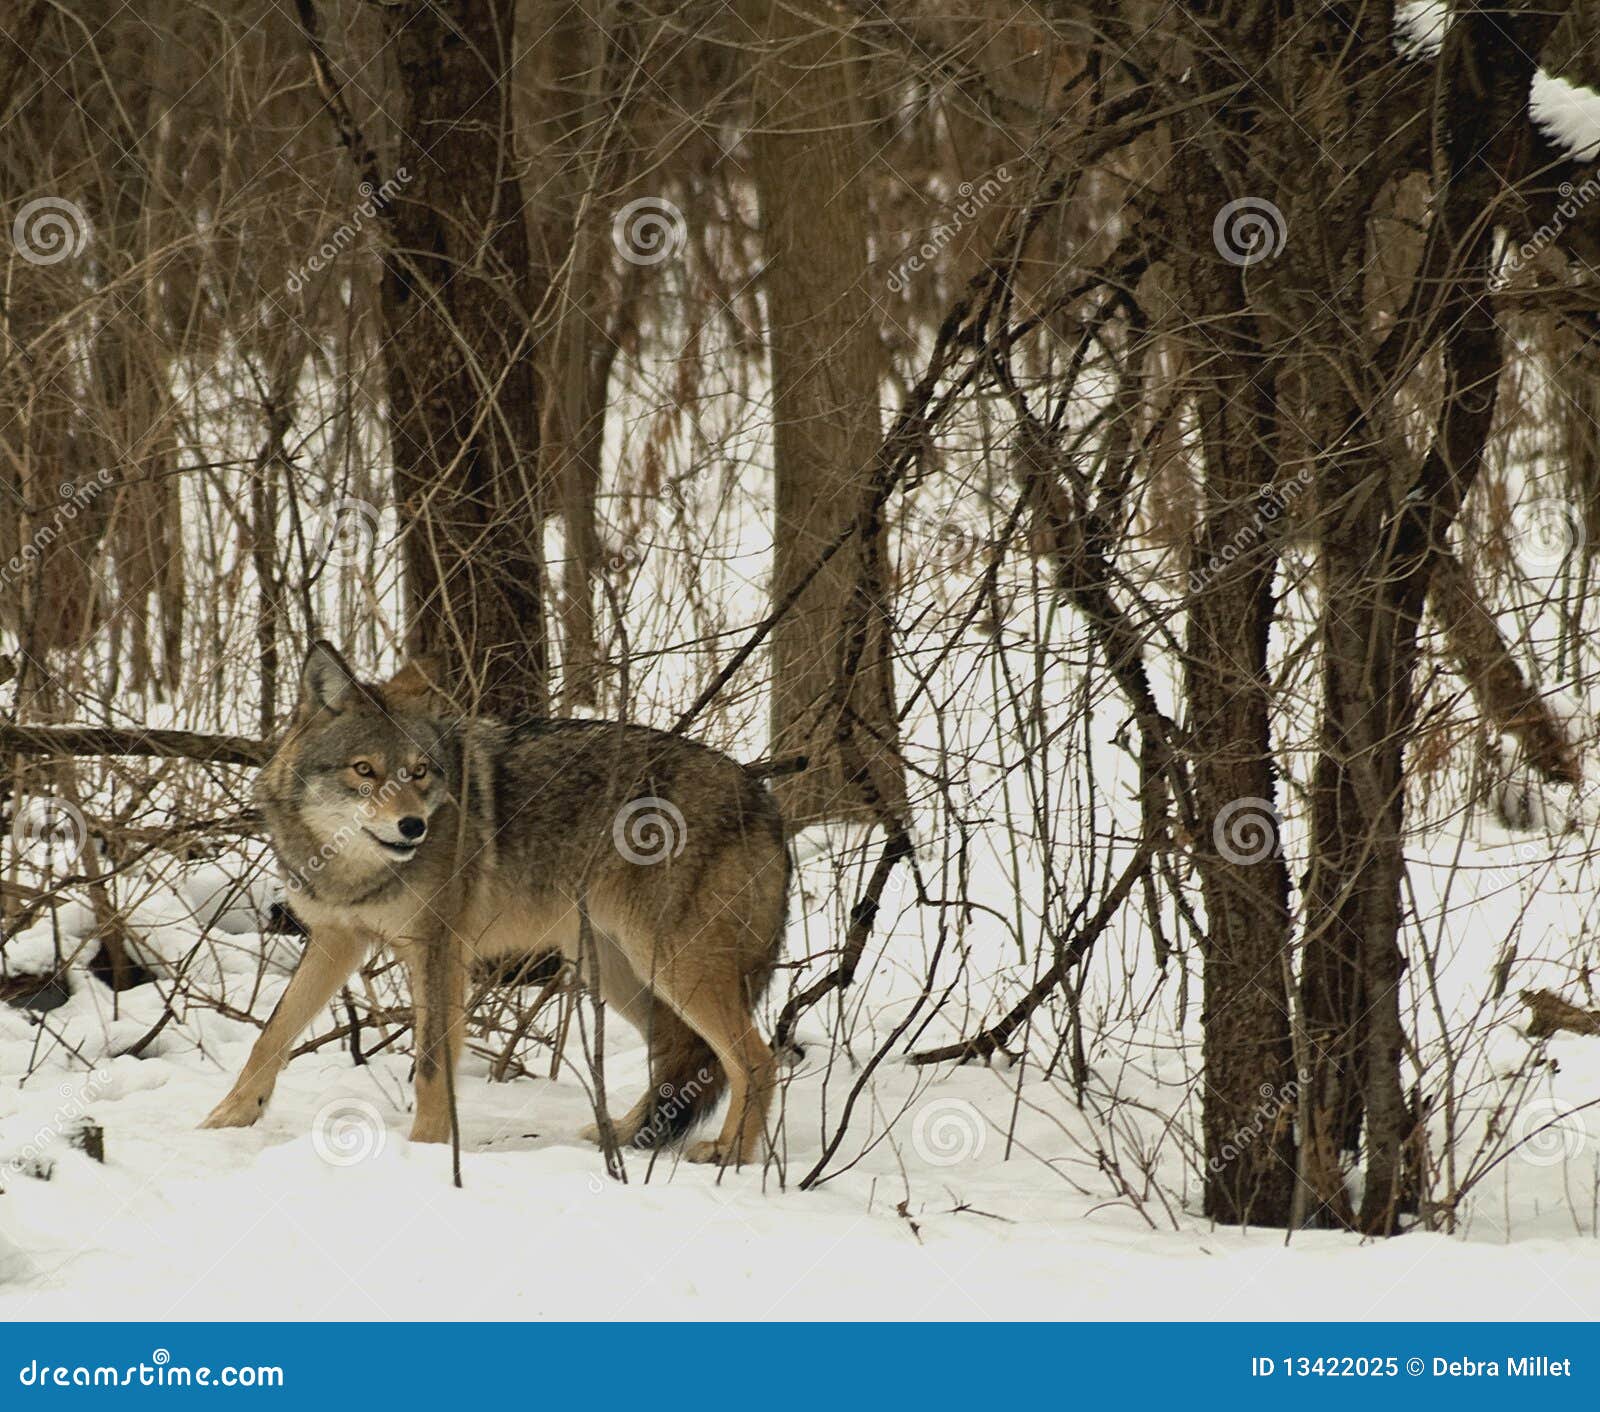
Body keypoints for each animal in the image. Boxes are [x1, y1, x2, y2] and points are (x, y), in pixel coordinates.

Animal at [201, 642, 788, 1165]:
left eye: (419, 771)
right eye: (365, 770)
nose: (412, 826)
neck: (354, 869)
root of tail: (764, 799)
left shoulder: (438, 950)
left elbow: (431, 1064)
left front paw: (426, 1149)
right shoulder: (336, 939)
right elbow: (271, 1034)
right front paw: (225, 1118)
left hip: (670, 966)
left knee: (756, 1060)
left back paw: (729, 1154)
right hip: (616, 971)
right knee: (685, 1055)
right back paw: (622, 1133)